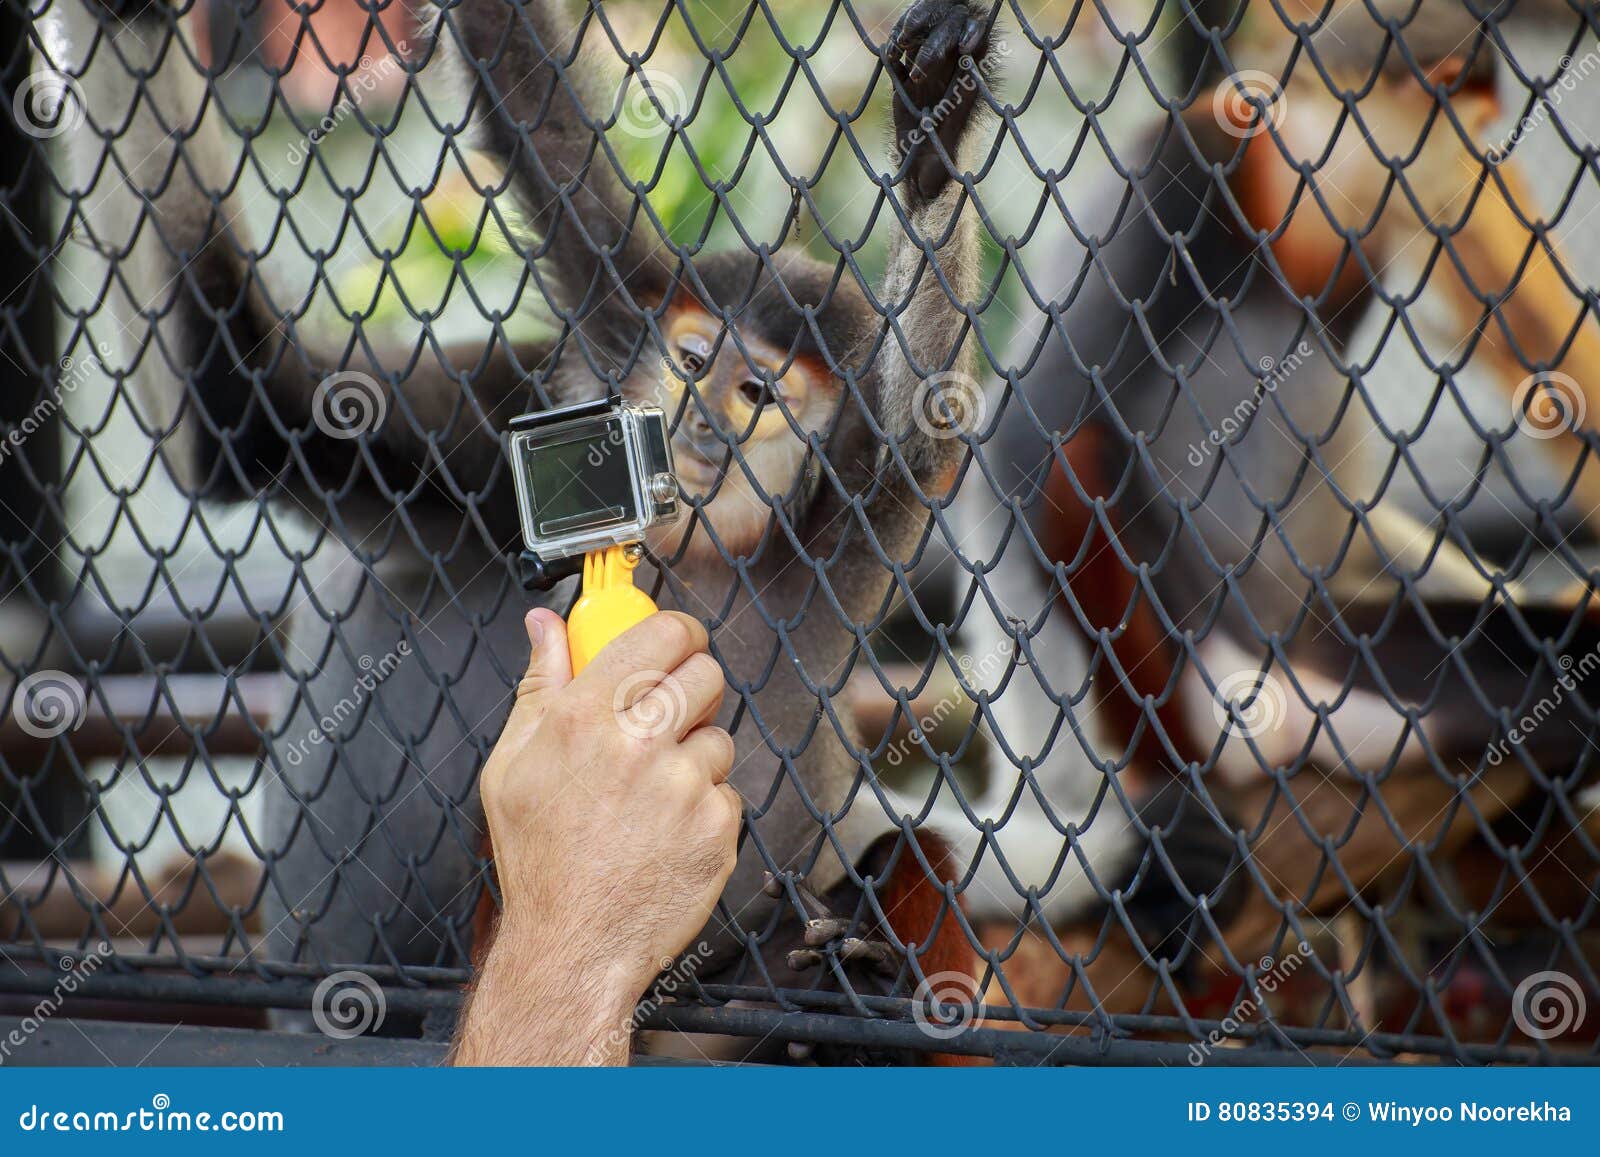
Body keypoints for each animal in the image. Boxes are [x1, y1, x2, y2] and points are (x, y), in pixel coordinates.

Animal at [51, 0, 995, 1050]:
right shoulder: (551, 386)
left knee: (914, 850)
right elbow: (248, 415)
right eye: (692, 361)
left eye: (754, 393)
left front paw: (935, 150)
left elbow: (930, 421)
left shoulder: (851, 515)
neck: (705, 548)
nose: (701, 424)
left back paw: (851, 986)